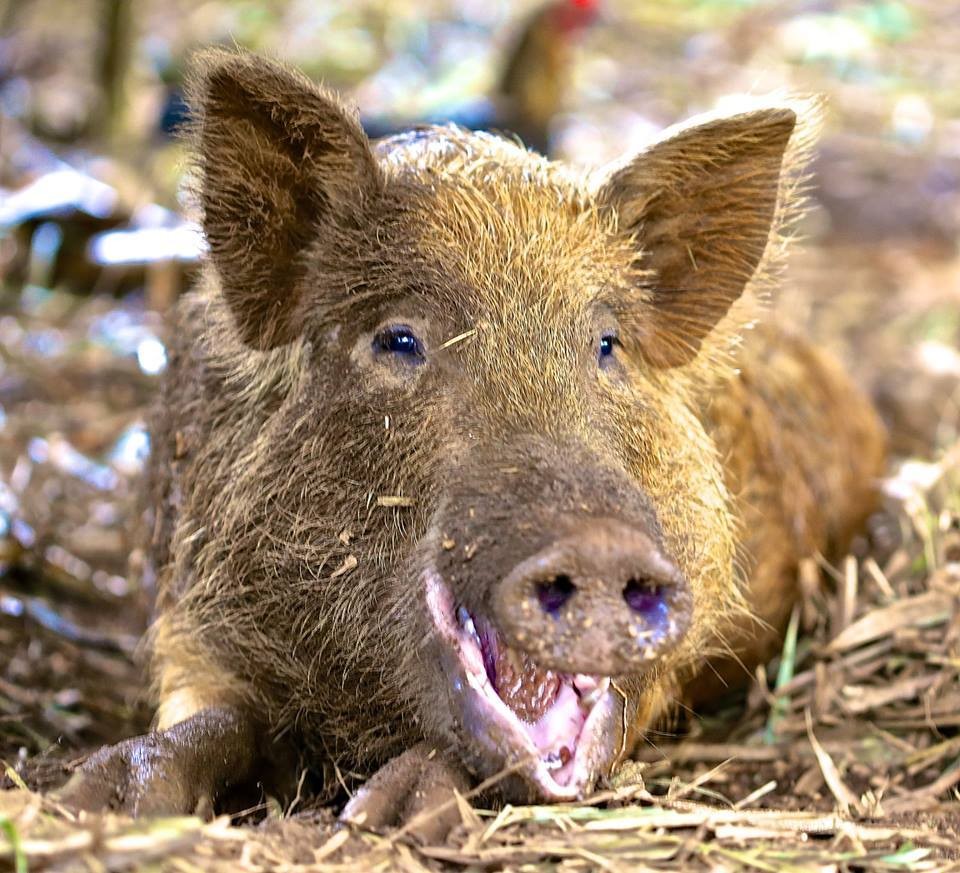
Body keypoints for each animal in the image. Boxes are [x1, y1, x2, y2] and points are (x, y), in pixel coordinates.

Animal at [59, 50, 886, 839]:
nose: (598, 543)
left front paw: (381, 817)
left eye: (608, 345)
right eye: (398, 339)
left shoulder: (670, 665)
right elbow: (208, 715)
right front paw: (96, 799)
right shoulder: (186, 614)